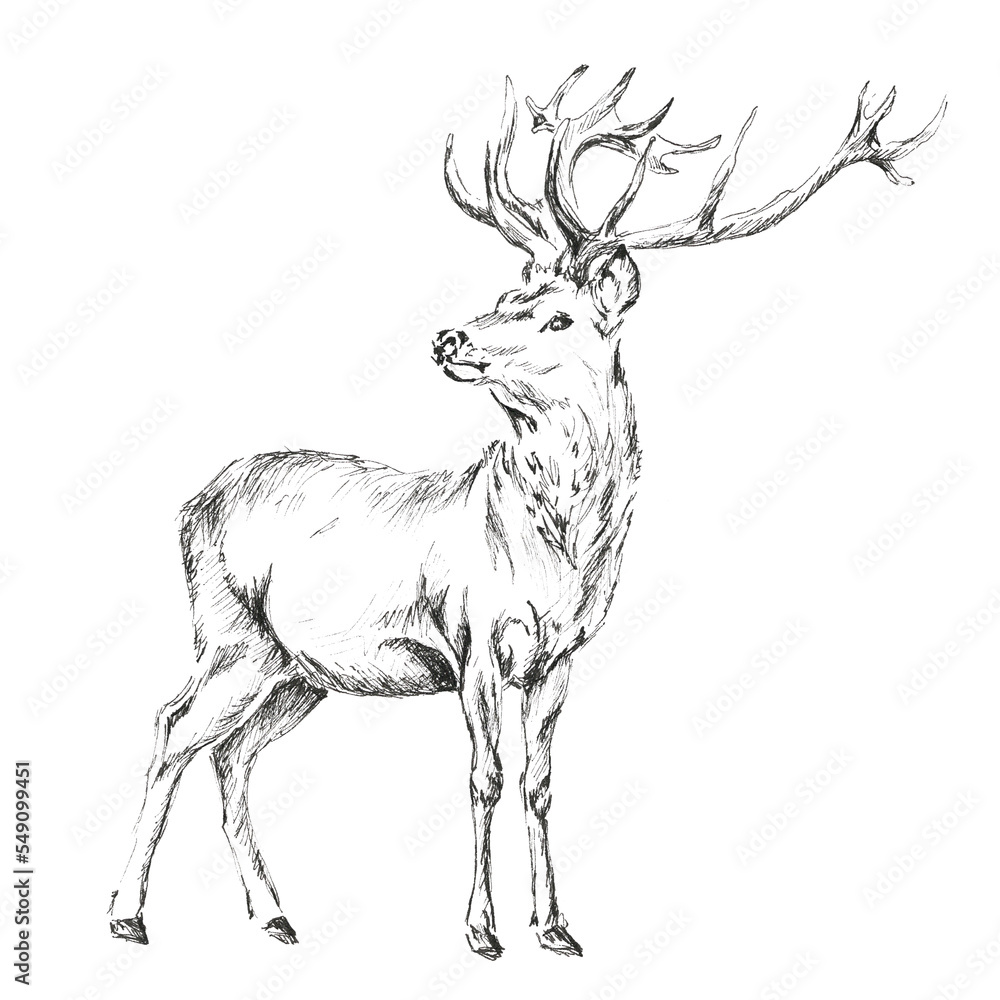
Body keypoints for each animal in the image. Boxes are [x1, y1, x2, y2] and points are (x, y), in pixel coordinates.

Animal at [109, 66, 944, 959]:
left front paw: (556, 926)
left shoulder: (561, 656)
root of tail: (192, 503)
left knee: (231, 753)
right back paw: (127, 912)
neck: (555, 555)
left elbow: (540, 782)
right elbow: (486, 776)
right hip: (229, 630)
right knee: (172, 725)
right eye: (507, 294)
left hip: (296, 669)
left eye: (555, 315)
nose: (449, 338)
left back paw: (274, 915)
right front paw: (481, 929)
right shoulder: (474, 636)